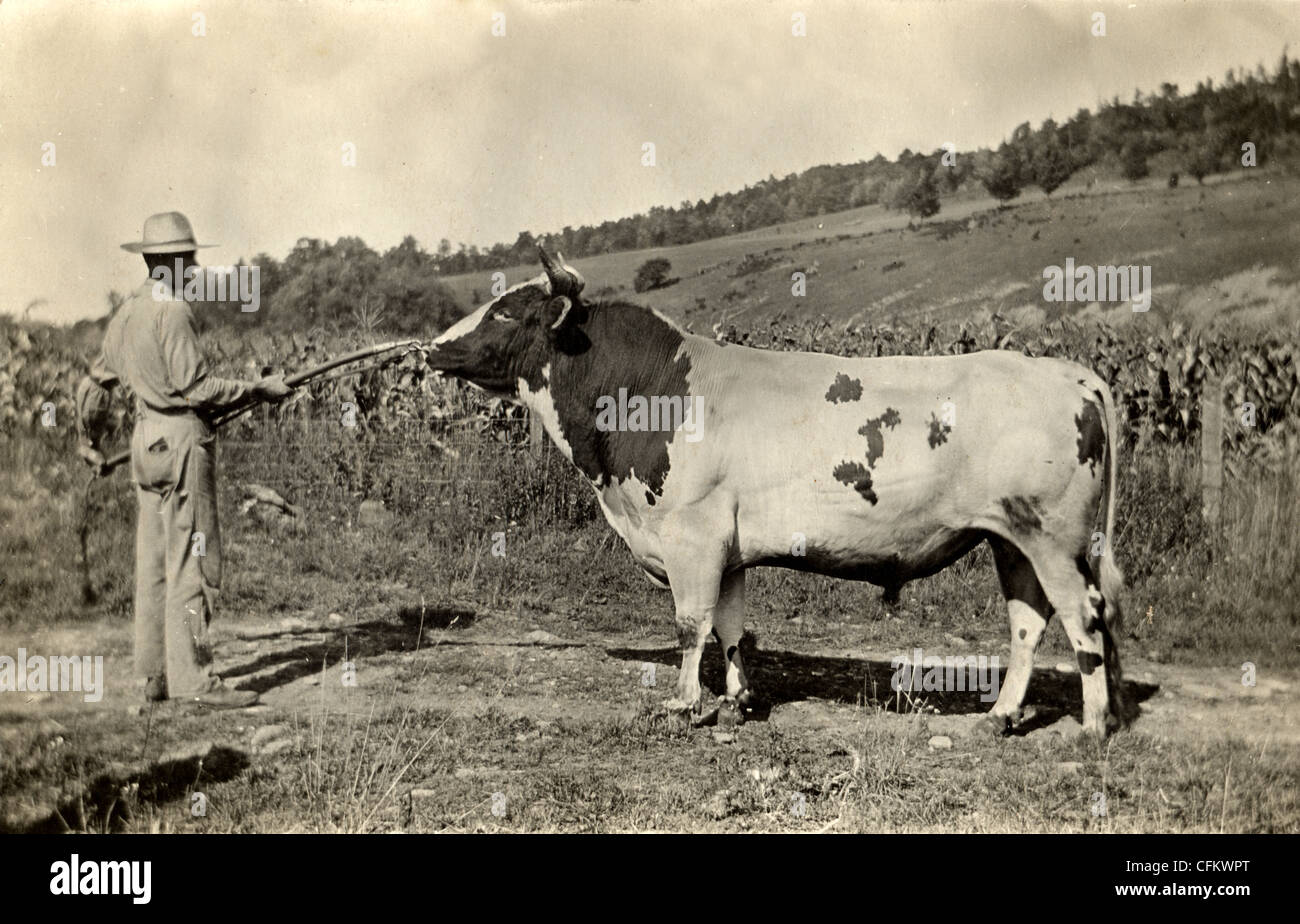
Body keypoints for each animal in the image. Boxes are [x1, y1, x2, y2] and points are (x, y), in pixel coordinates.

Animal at [428, 248, 1127, 737]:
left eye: (506, 310)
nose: (431, 347)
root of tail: (1070, 372)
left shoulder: (692, 535)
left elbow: (690, 625)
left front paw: (683, 704)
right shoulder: (729, 546)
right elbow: (732, 627)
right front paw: (736, 702)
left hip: (1052, 539)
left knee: (1083, 617)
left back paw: (1092, 727)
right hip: (1011, 540)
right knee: (1029, 622)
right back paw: (1002, 716)